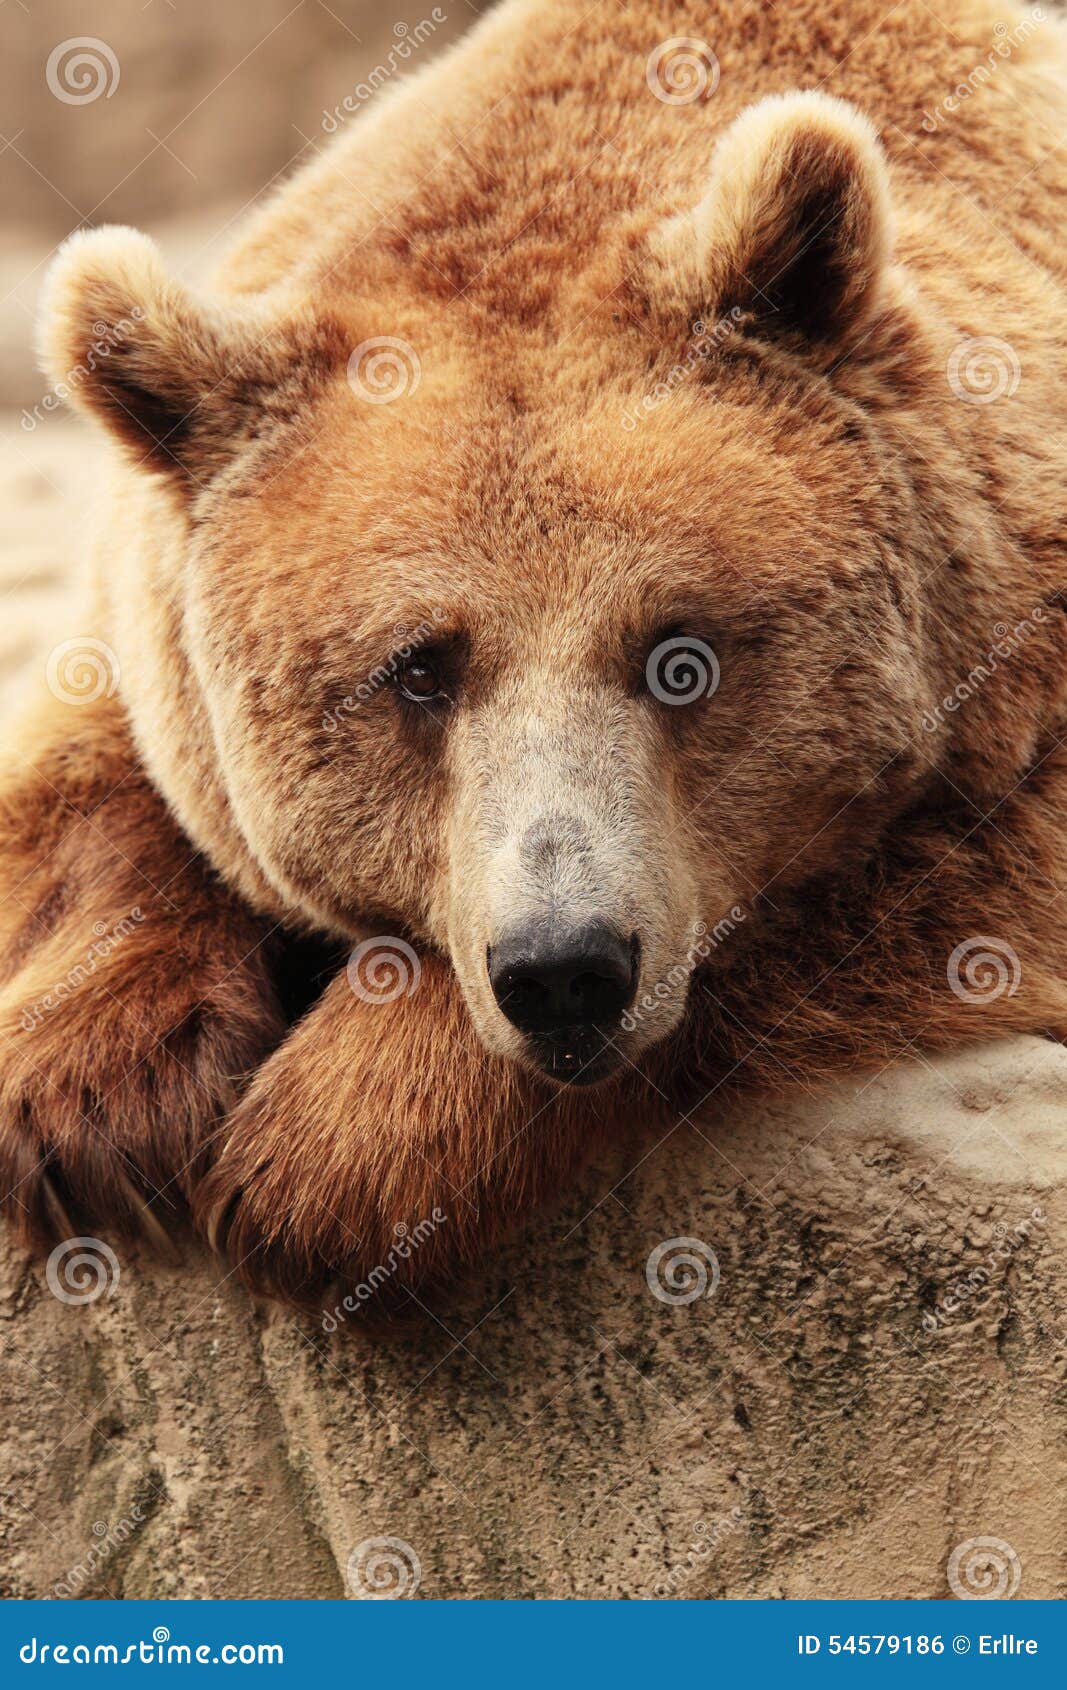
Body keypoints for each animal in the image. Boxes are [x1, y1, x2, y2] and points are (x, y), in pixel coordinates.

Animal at [3, 0, 1067, 1313]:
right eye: (417, 666)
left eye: (679, 653)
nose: (565, 967)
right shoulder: (145, 608)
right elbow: (96, 770)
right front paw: (89, 1099)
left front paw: (332, 1144)